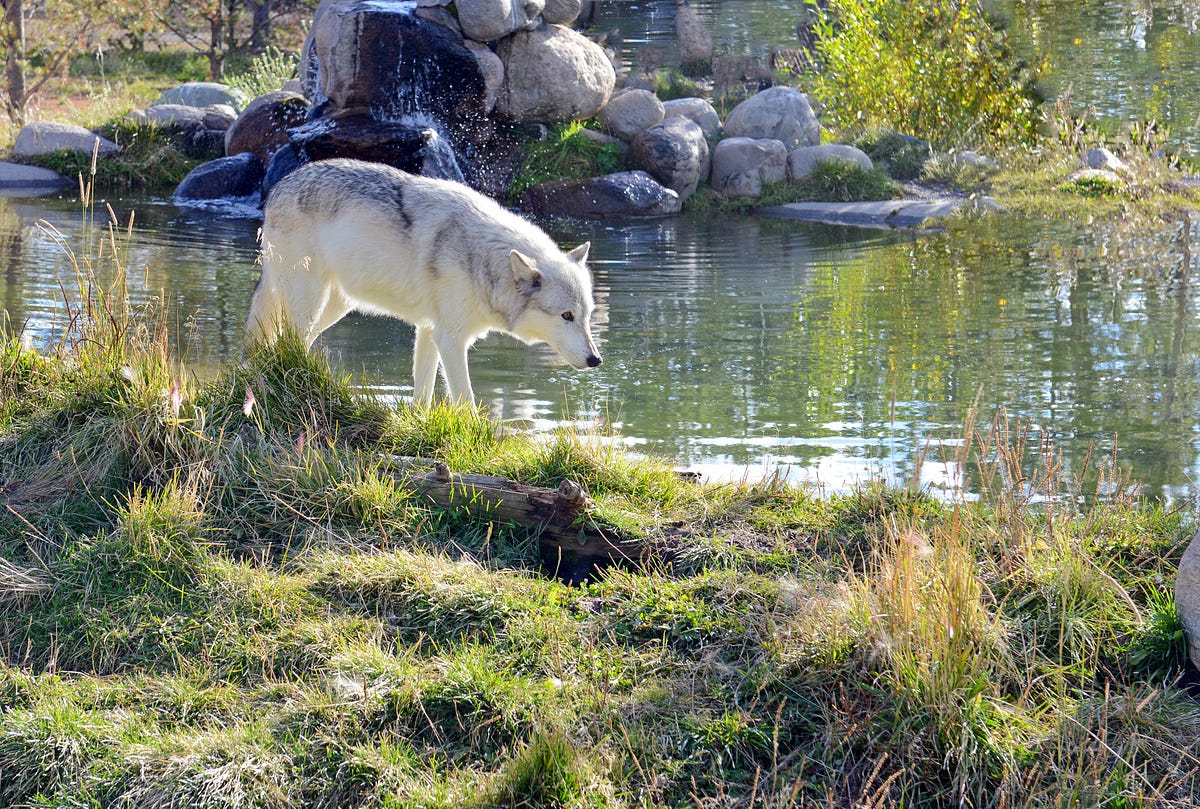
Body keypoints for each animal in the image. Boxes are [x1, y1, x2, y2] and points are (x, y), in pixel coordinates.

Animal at [245, 158, 602, 405]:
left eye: (586, 317)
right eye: (566, 316)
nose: (596, 360)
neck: (481, 259)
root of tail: (278, 188)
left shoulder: (429, 331)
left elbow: (424, 397)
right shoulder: (450, 339)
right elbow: (465, 399)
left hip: (335, 307)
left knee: (292, 343)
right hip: (310, 301)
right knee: (287, 343)